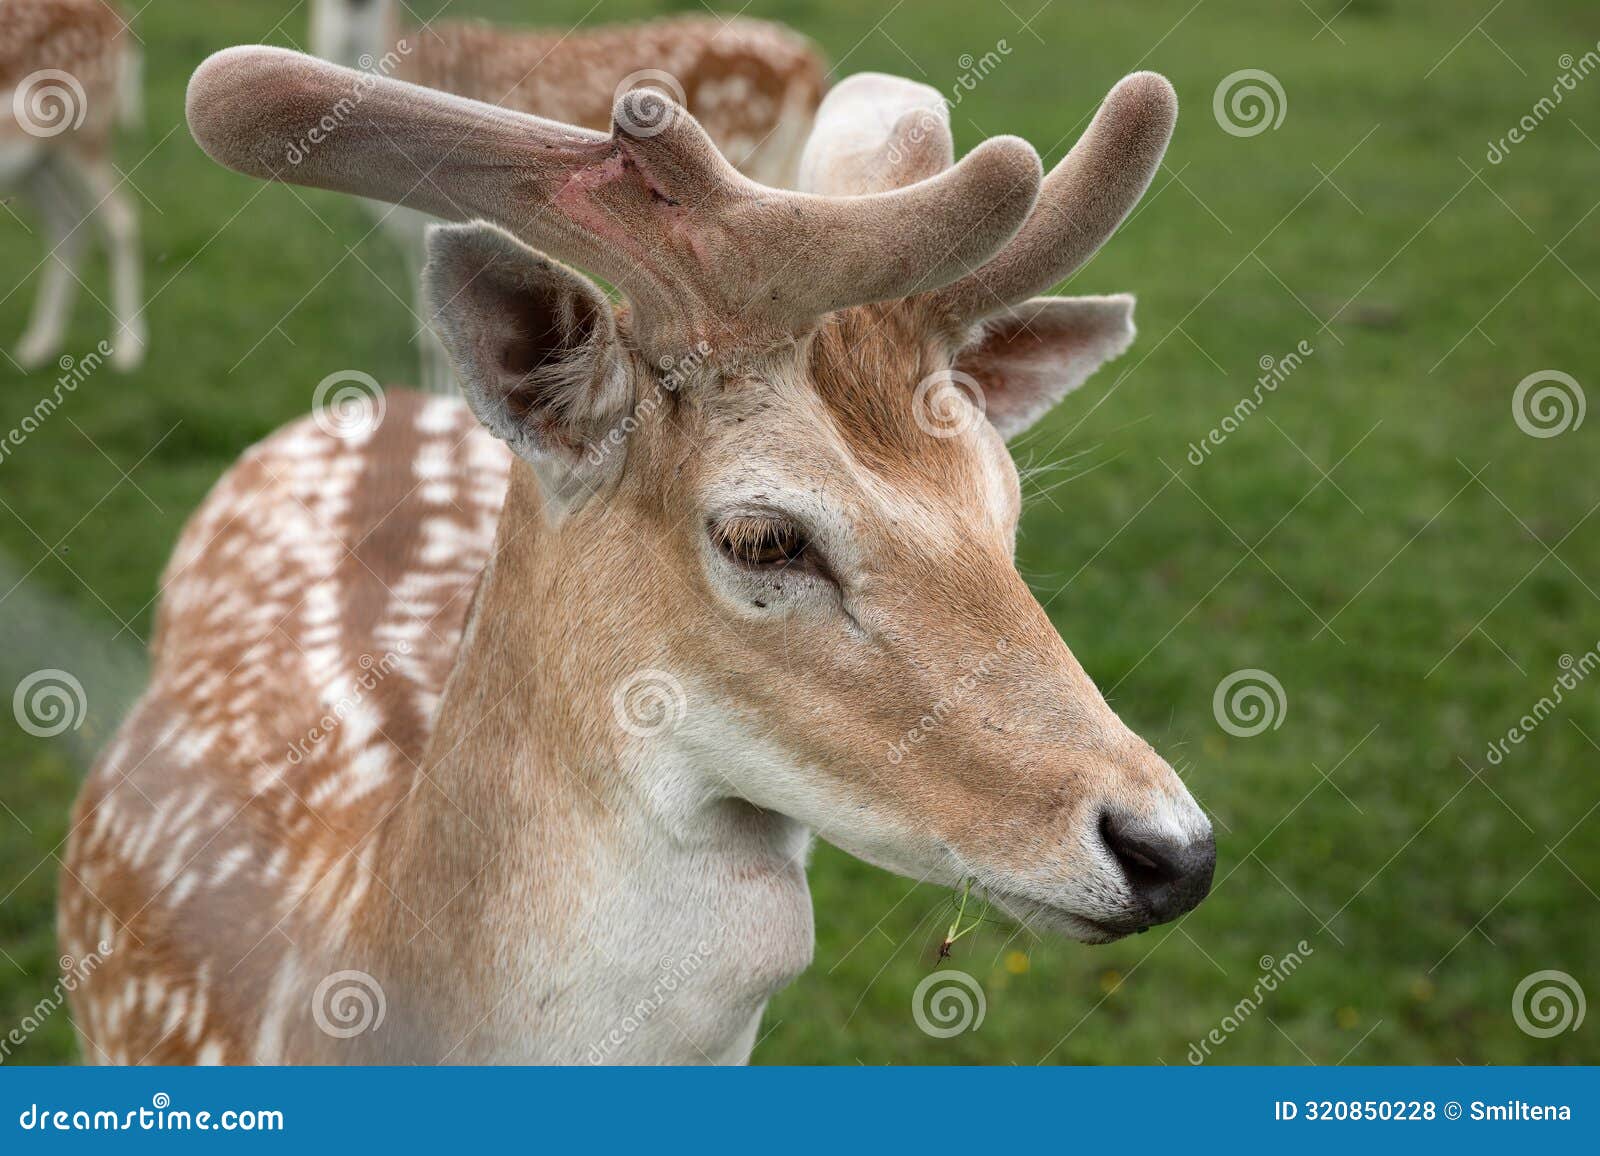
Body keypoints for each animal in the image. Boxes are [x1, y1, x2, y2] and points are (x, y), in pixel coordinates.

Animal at [1, 0, 145, 373]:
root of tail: (119, 17)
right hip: (33, 162)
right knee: (68, 223)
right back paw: (39, 345)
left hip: (84, 133)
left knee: (121, 218)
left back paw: (129, 350)